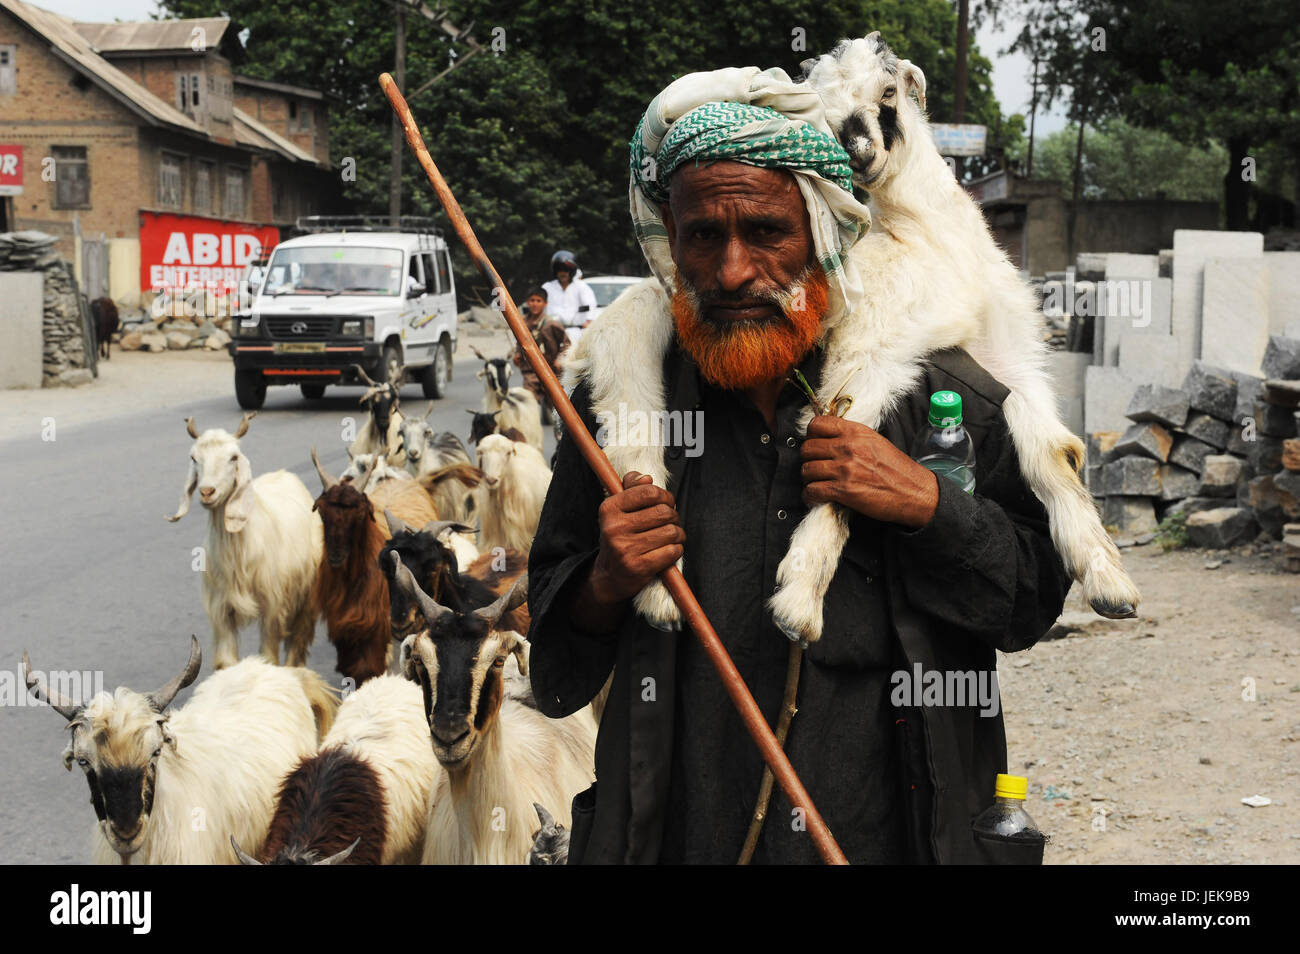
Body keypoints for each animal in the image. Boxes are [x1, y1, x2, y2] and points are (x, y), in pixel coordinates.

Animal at [168, 414, 322, 670]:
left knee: (297, 644)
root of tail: (285, 474)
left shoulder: (272, 607)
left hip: (307, 596)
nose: (207, 492)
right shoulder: (220, 611)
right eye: (194, 458)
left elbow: (268, 656)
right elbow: (226, 661)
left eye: (233, 457)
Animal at [794, 33, 1139, 623]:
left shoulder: (1003, 356)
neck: (929, 234)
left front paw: (1110, 584)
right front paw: (795, 592)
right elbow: (836, 432)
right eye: (820, 110)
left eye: (889, 90)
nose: (858, 153)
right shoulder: (872, 344)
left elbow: (1056, 452)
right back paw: (796, 606)